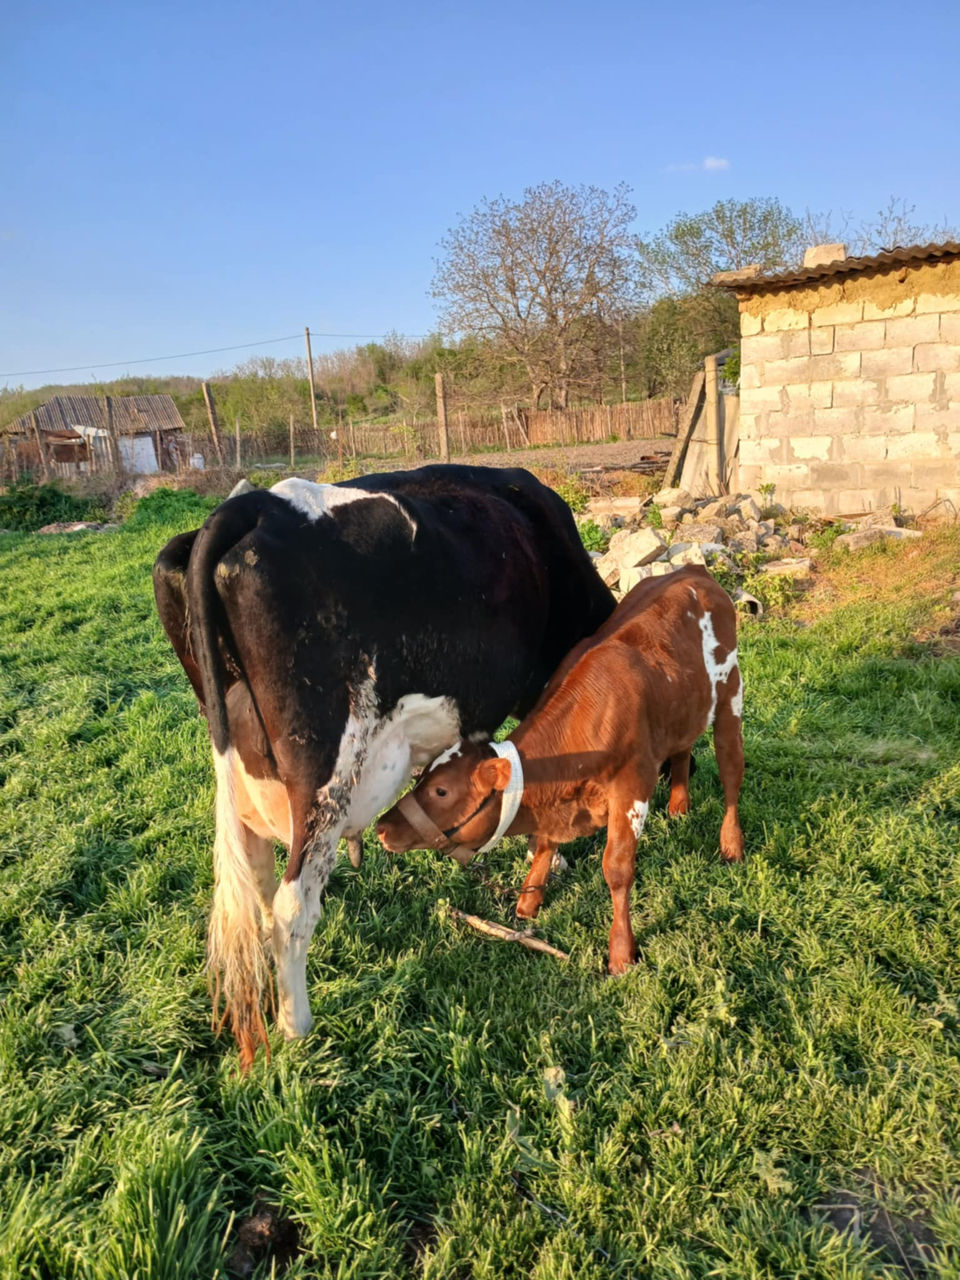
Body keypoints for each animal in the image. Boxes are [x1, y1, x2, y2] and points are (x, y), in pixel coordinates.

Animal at [152, 465, 615, 1067]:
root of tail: (250, 507)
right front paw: (550, 858)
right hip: (324, 769)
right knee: (292, 905)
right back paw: (298, 1028)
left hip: (240, 761)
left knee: (254, 885)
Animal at [377, 566, 744, 974]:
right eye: (421, 777)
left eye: (441, 790)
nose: (382, 827)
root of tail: (693, 571)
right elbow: (543, 843)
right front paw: (528, 903)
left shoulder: (631, 788)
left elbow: (617, 869)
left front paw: (621, 952)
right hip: (684, 704)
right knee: (683, 746)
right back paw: (679, 804)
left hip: (731, 693)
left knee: (731, 770)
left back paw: (732, 844)